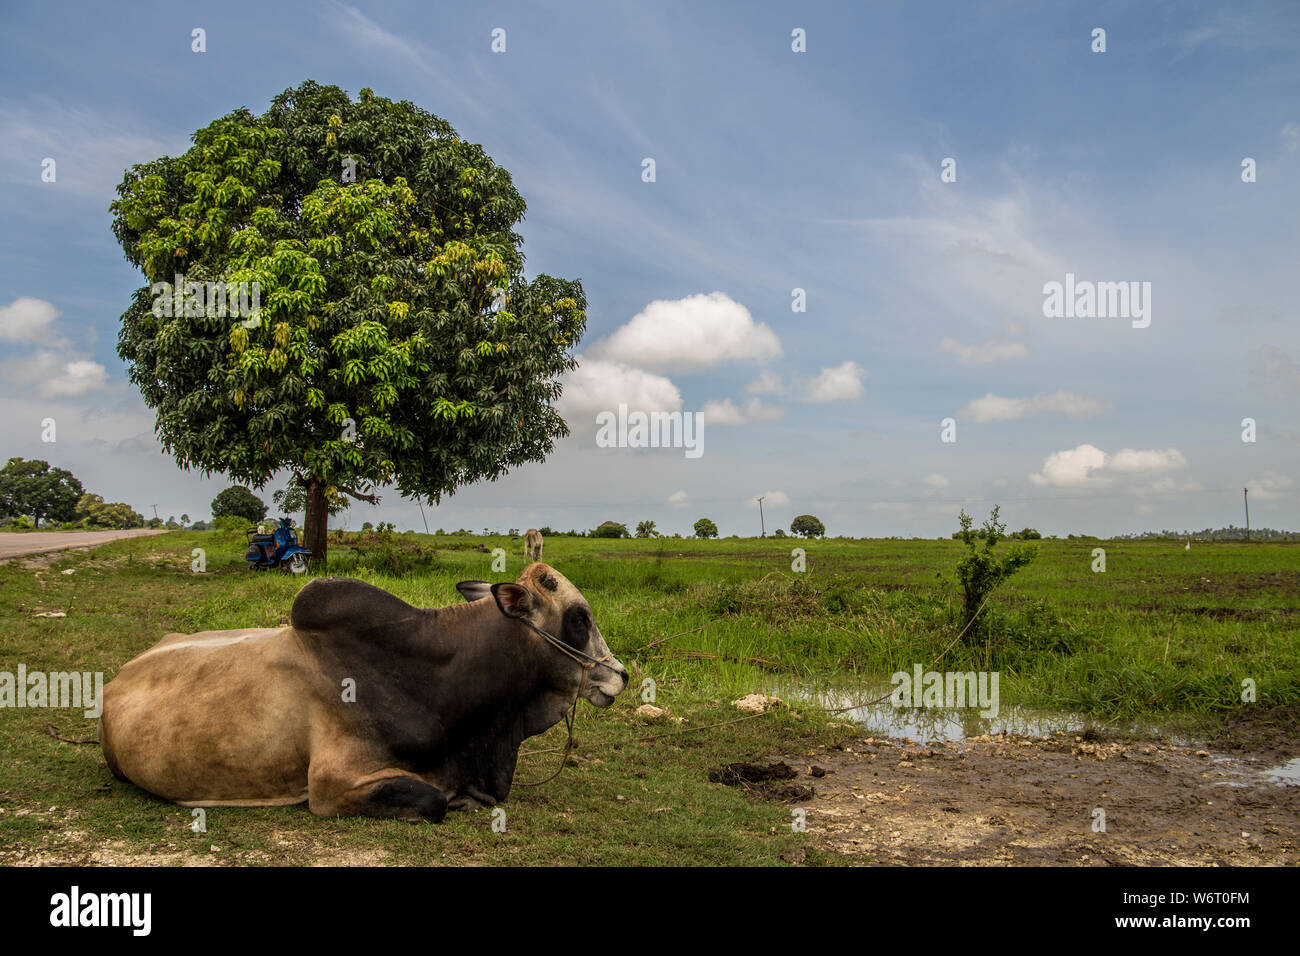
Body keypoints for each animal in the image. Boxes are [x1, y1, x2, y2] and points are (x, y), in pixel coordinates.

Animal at [99, 563, 627, 821]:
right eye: (579, 618)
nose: (620, 675)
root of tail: (118, 676)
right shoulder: (332, 785)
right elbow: (433, 800)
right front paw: (456, 799)